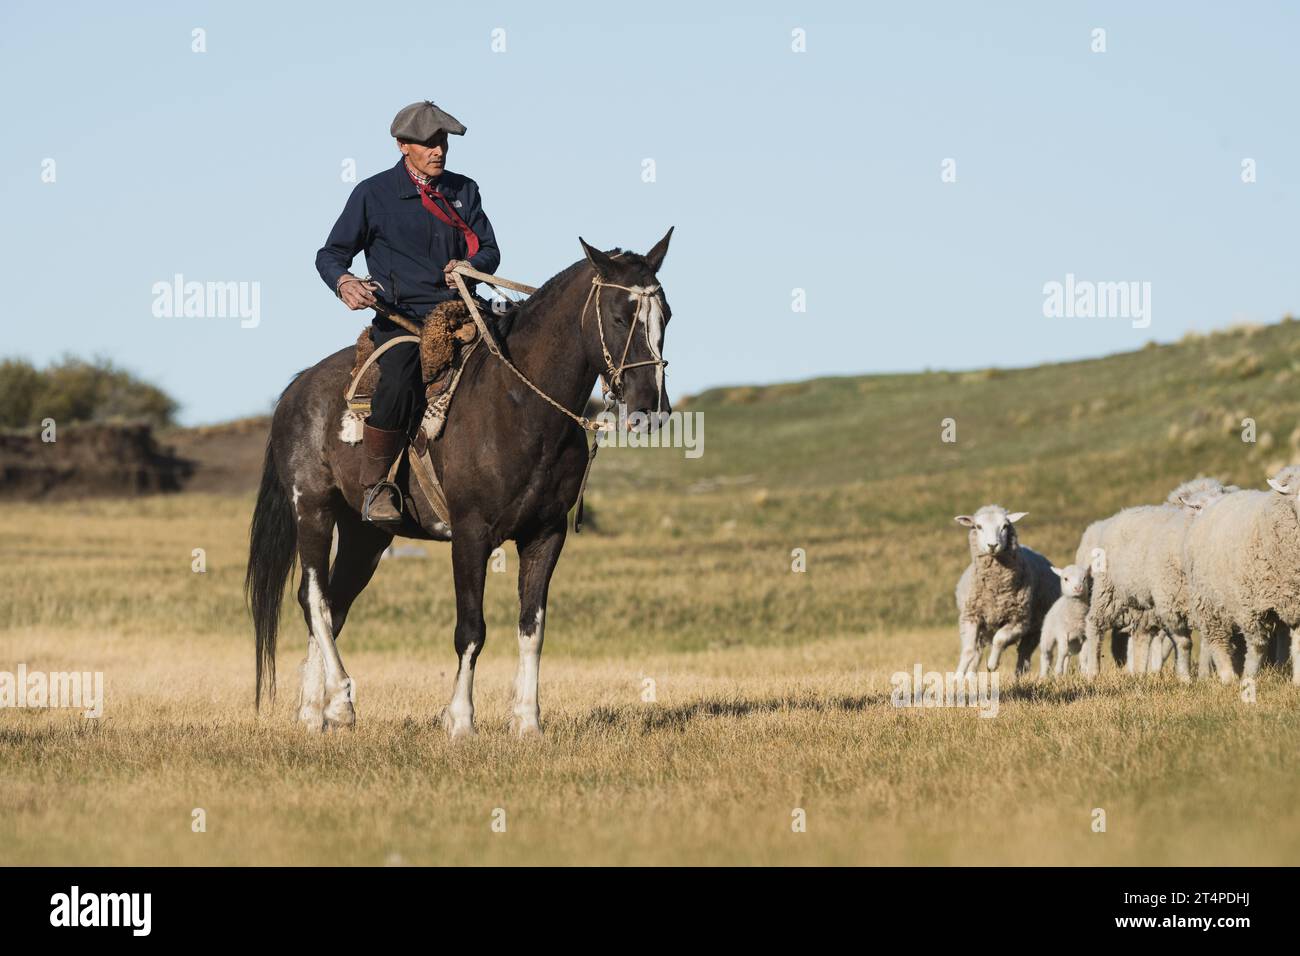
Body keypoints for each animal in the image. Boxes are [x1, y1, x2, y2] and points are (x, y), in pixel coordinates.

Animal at [954, 506, 1060, 676]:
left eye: (1005, 526)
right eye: (978, 526)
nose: (992, 545)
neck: (994, 588)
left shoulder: (1019, 621)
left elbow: (999, 639)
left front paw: (992, 664)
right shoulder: (971, 616)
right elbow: (968, 651)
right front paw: (957, 678)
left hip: (1035, 629)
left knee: (1023, 655)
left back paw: (1019, 677)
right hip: (983, 629)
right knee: (977, 652)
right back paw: (970, 676)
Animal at [1183, 467, 1300, 684]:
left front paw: (1297, 682)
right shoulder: (1250, 608)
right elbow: (1257, 646)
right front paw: (1248, 678)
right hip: (1208, 601)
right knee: (1217, 639)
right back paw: (1228, 677)